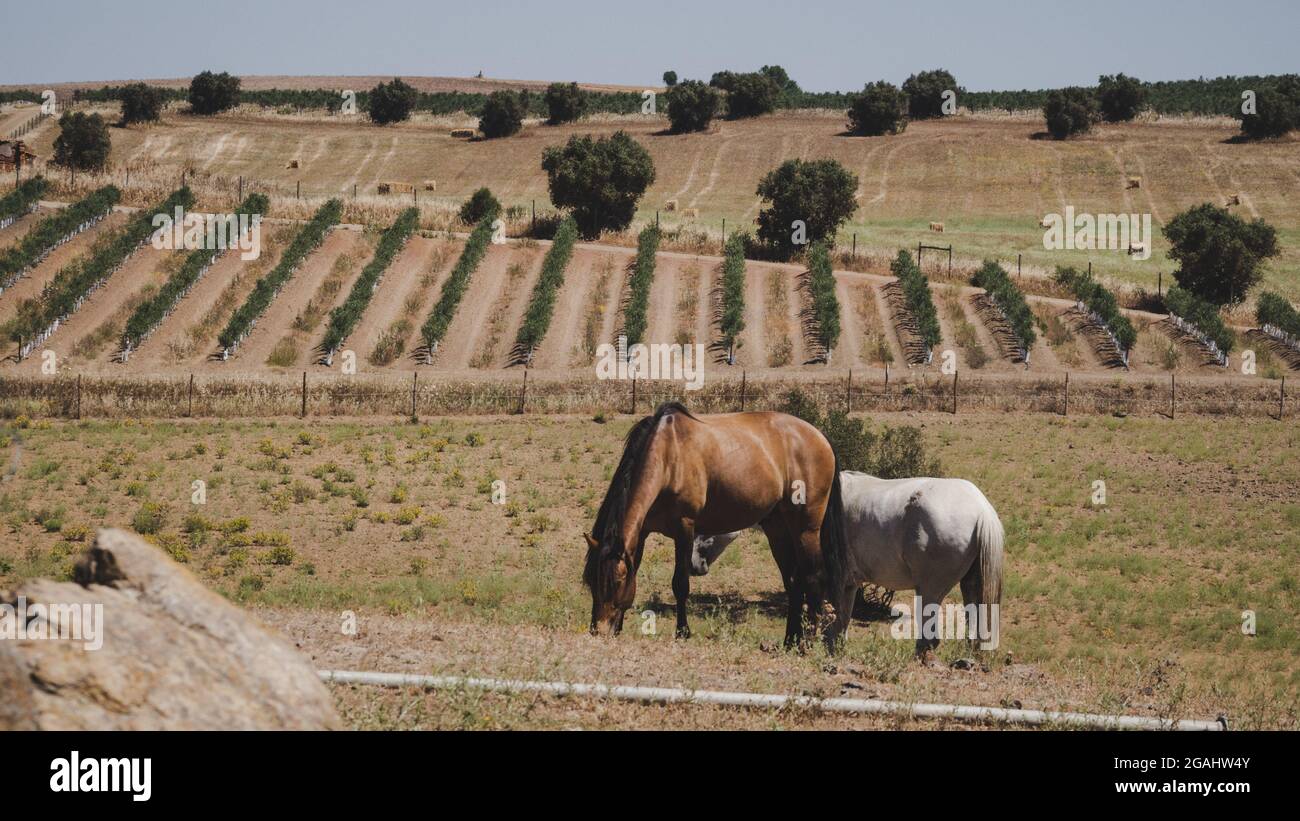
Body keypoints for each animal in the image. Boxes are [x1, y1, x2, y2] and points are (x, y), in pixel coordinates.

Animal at [582, 402, 850, 648]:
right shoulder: (643, 531)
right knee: (793, 581)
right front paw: (620, 627)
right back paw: (790, 640)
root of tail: (821, 438)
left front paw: (683, 632)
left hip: (807, 529)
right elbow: (635, 570)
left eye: (616, 582)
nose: (599, 630)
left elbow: (680, 583)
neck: (668, 456)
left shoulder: (684, 528)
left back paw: (807, 643)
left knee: (814, 577)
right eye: (591, 580)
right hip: (778, 530)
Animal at [691, 471, 1005, 656]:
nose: (694, 566)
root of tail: (982, 509)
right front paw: (833, 647)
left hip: (929, 589)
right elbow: (842, 617)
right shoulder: (849, 581)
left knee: (930, 634)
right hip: (970, 583)